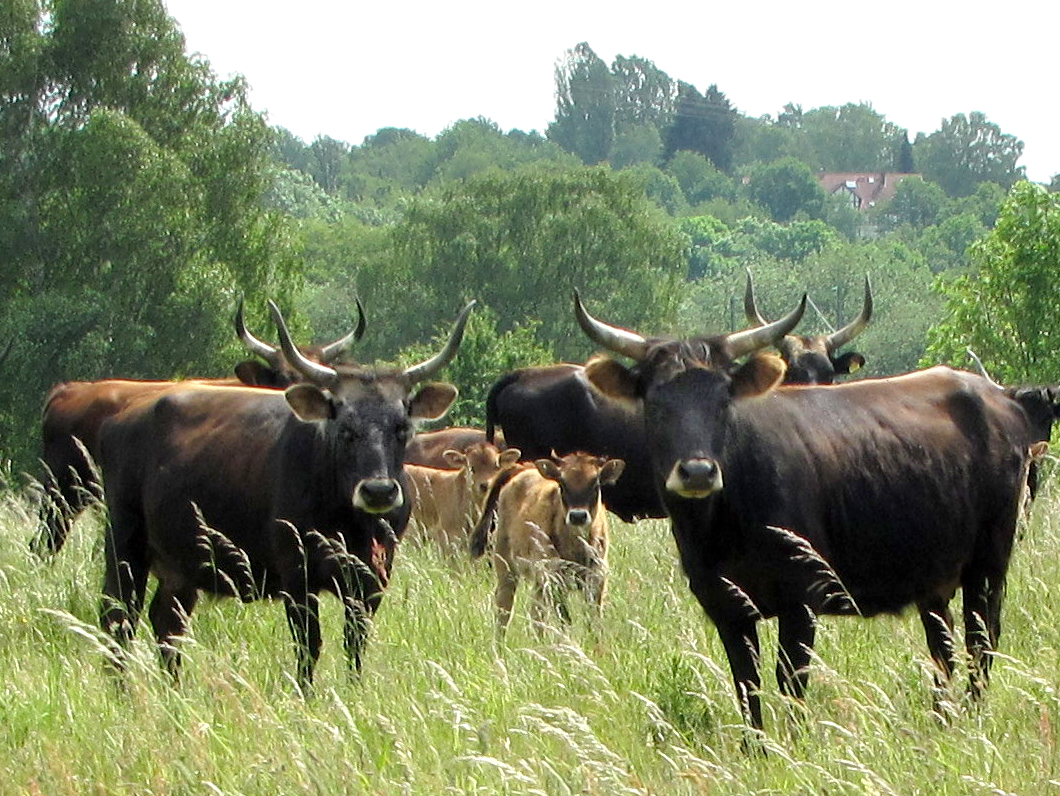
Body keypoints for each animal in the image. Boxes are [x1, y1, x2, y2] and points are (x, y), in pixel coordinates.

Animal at [95, 300, 473, 688]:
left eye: (401, 427)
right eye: (345, 429)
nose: (378, 491)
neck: (349, 522)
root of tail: (124, 417)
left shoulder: (371, 581)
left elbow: (355, 643)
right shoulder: (297, 574)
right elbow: (309, 644)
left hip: (181, 565)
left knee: (167, 623)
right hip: (124, 543)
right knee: (118, 617)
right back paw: (121, 689)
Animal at [469, 452, 624, 641]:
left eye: (596, 483)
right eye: (562, 483)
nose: (578, 516)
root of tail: (522, 469)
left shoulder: (596, 580)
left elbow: (593, 620)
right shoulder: (554, 580)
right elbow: (565, 619)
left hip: (537, 580)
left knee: (536, 614)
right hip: (506, 567)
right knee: (504, 609)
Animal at [574, 290, 1035, 733]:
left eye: (723, 400)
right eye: (655, 403)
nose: (698, 471)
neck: (723, 523)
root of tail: (997, 397)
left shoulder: (802, 599)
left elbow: (790, 681)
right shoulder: (725, 605)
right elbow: (747, 685)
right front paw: (755, 747)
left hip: (989, 565)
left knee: (981, 641)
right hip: (934, 577)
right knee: (943, 648)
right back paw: (942, 721)